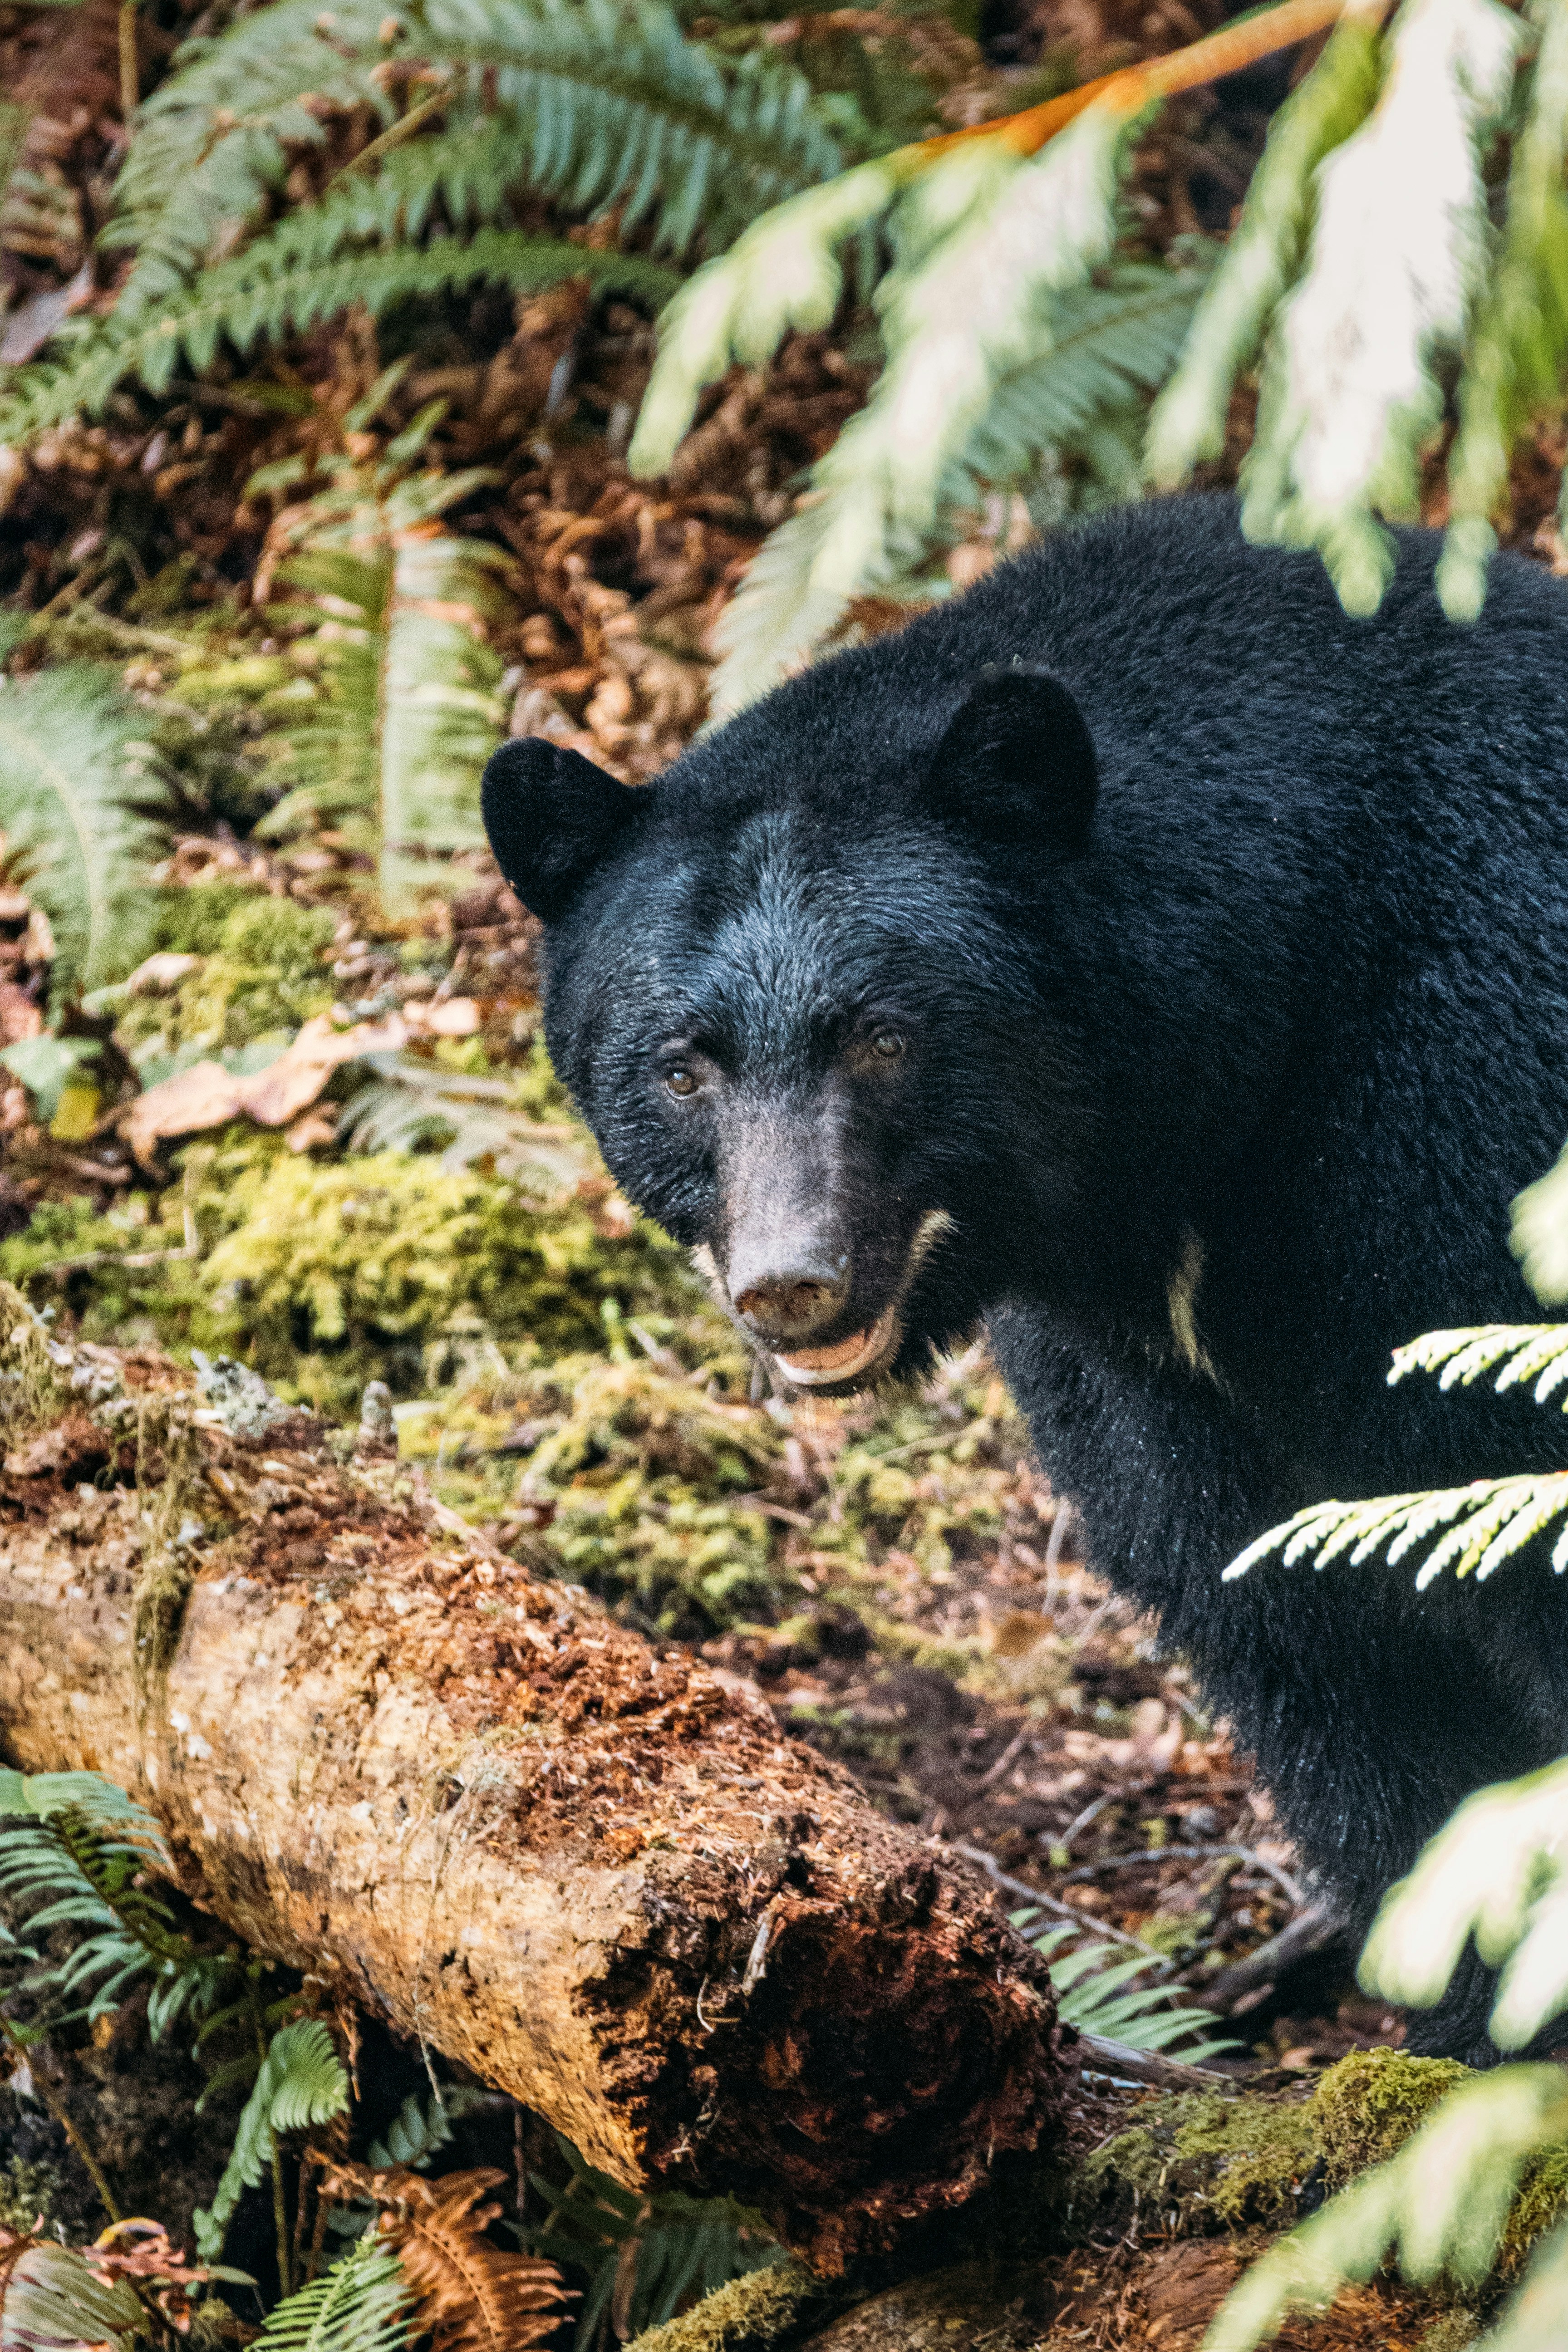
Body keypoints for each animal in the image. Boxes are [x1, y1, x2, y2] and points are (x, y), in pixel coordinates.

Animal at [482, 492, 1568, 2061]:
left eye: (880, 1034)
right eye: (681, 1066)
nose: (790, 1279)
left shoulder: (1464, 1130)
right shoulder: (1147, 1376)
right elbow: (1325, 1652)